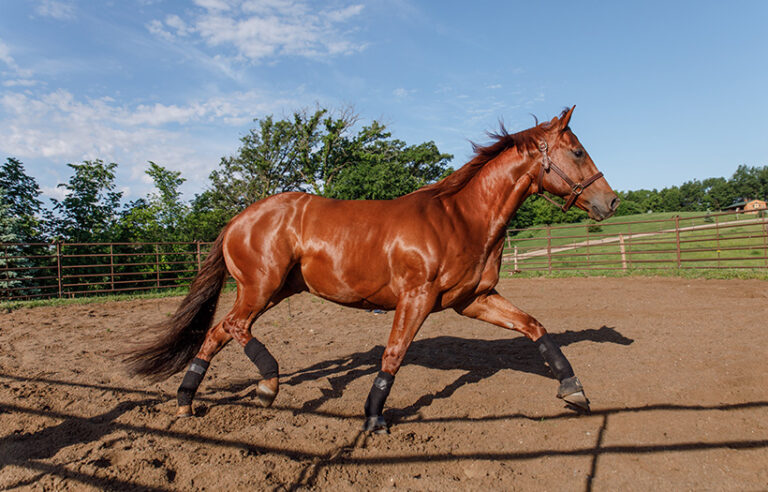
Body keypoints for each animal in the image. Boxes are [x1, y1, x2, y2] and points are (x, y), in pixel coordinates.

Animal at [125, 106, 618, 433]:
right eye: (577, 152)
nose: (610, 202)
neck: (461, 217)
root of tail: (238, 219)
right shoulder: (416, 299)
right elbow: (393, 356)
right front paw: (374, 417)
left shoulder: (474, 300)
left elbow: (535, 327)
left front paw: (574, 390)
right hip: (260, 288)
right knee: (233, 327)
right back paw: (267, 385)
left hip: (273, 290)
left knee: (216, 333)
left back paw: (187, 401)